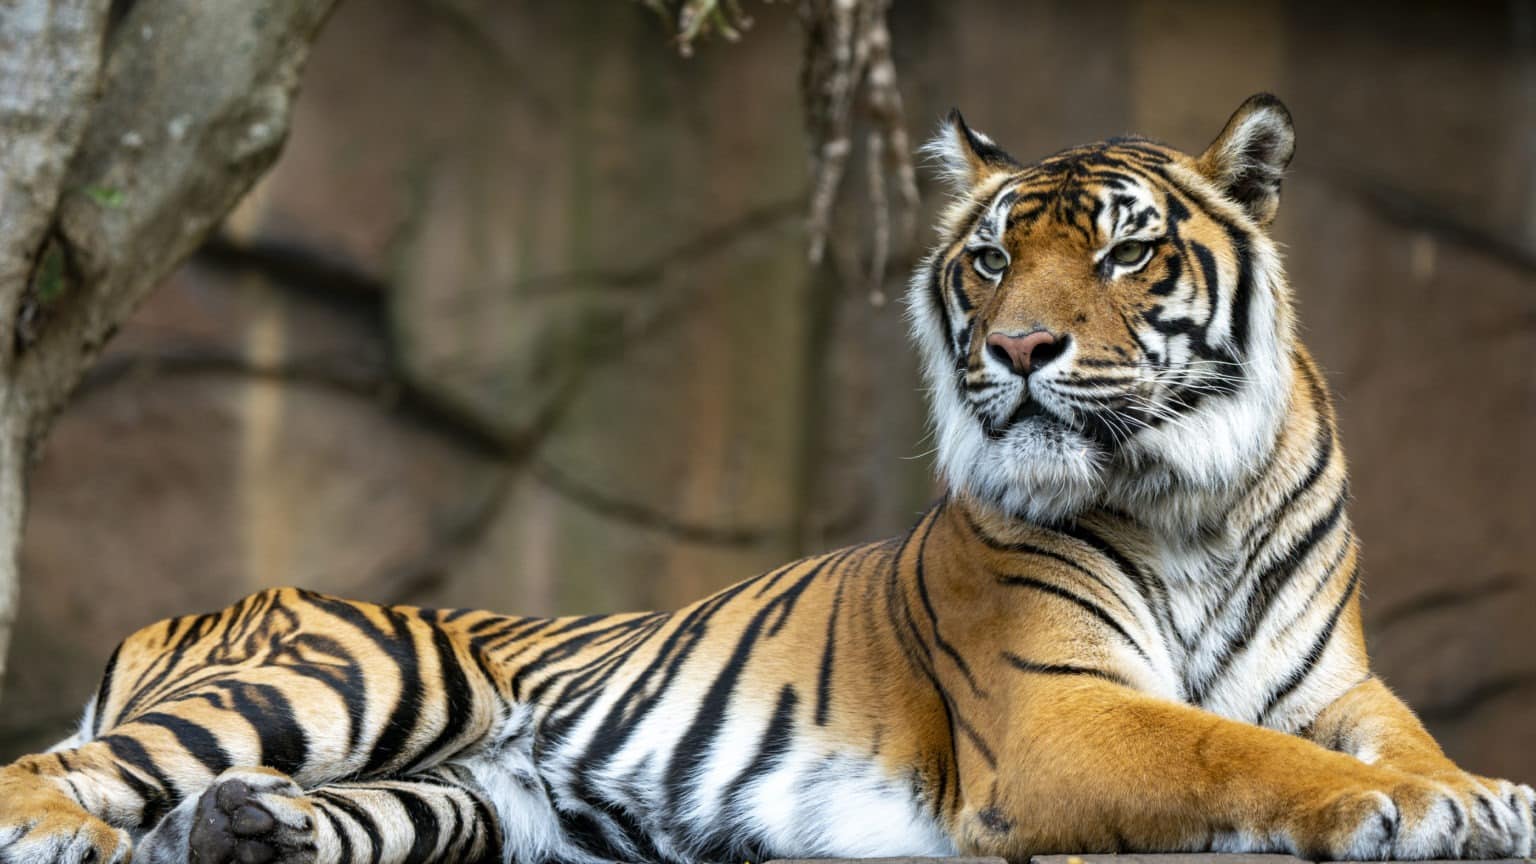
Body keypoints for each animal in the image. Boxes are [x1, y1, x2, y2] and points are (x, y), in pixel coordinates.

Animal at [0, 93, 1530, 864]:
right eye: (992, 259)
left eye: (1123, 250)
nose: (1017, 348)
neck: (1187, 496)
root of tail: (188, 613)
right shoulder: (1055, 714)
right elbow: (1229, 750)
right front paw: (1412, 811)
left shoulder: (1337, 686)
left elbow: (1391, 738)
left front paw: (1479, 792)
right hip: (357, 677)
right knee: (57, 767)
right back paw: (84, 836)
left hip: (464, 797)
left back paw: (246, 833)